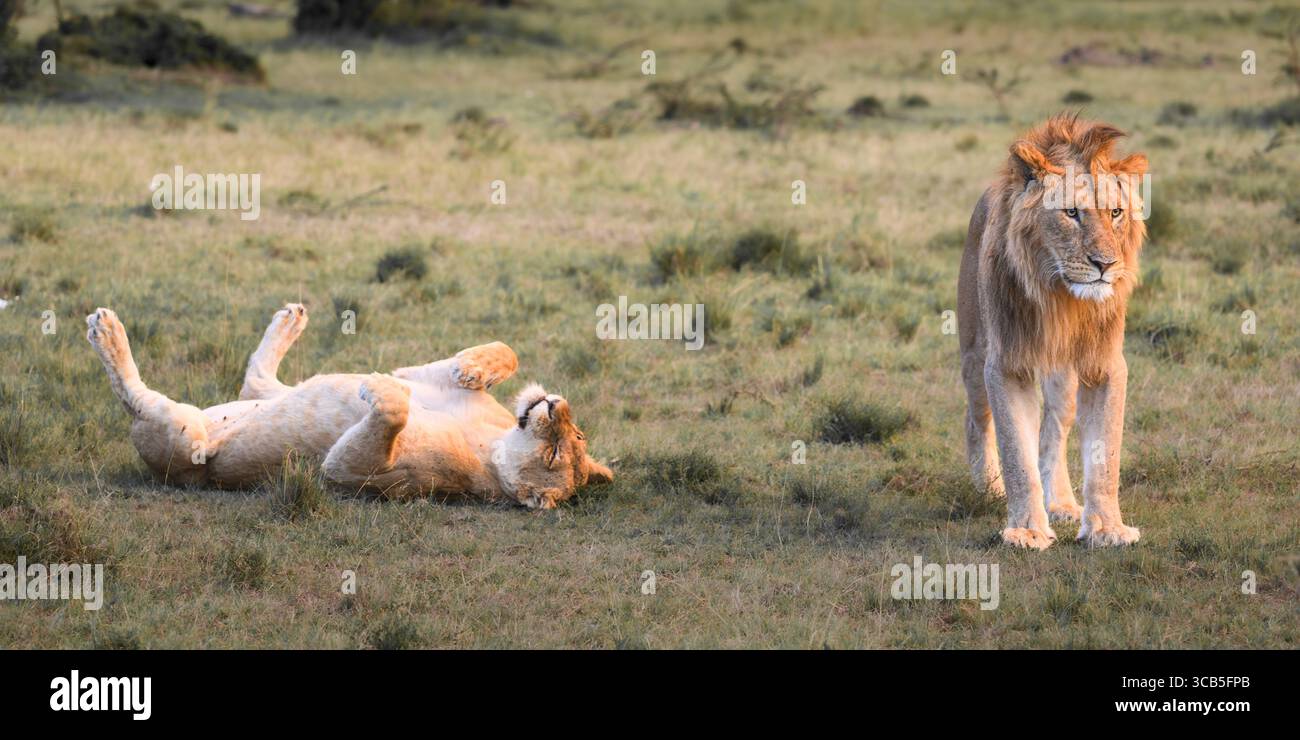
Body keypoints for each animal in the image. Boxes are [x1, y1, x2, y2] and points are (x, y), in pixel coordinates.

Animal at [85, 303, 613, 509]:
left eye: (554, 455)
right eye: (576, 436)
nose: (558, 406)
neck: (493, 440)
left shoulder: (355, 475)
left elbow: (391, 414)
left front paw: (379, 389)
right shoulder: (424, 375)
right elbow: (506, 349)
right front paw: (473, 368)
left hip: (184, 441)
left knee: (138, 400)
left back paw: (107, 332)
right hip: (254, 401)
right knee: (256, 382)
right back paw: (291, 319)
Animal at [958, 113, 1147, 550]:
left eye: (1116, 212)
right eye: (1071, 212)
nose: (1105, 264)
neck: (1062, 299)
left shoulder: (1105, 364)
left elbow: (1106, 455)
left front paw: (1107, 528)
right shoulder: (1007, 365)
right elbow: (1016, 453)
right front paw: (1027, 529)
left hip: (1063, 378)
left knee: (1052, 431)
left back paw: (1060, 503)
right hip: (973, 354)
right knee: (977, 420)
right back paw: (988, 488)